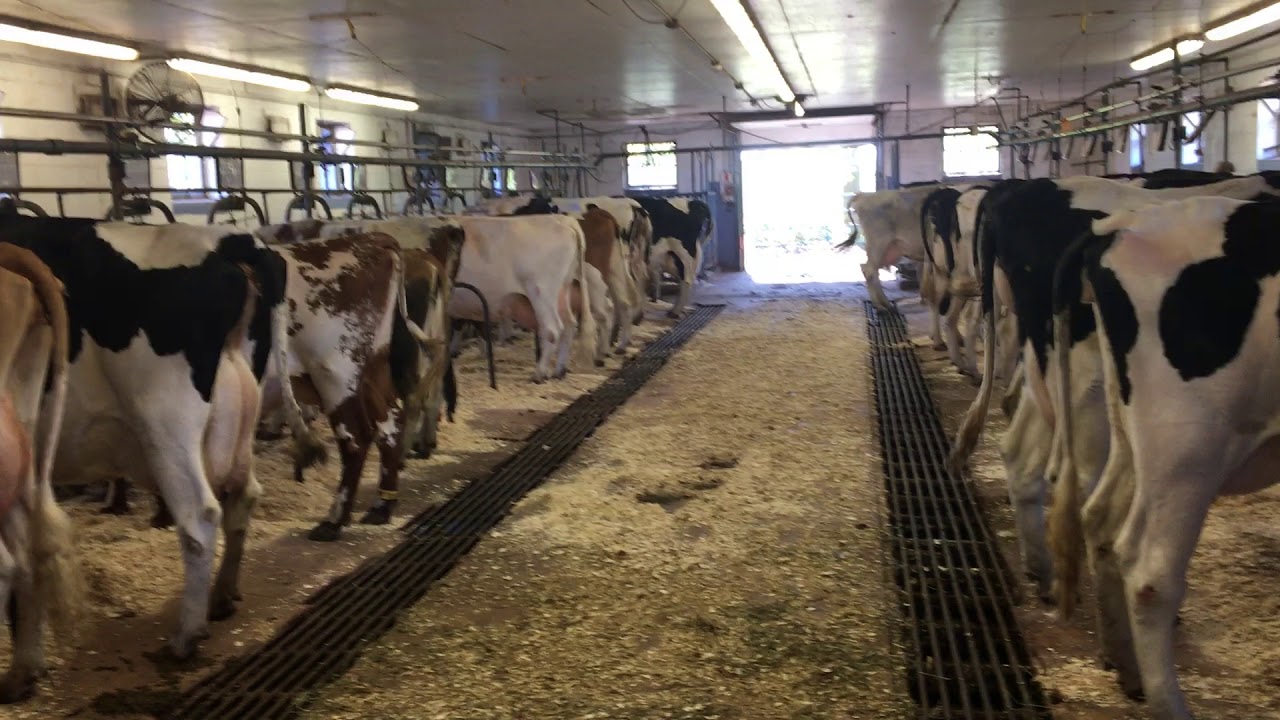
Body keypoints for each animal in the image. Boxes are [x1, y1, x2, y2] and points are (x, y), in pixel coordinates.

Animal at [0, 215, 294, 660]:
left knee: (200, 516)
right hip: (239, 414)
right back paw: (222, 597)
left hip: (165, 422)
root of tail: (227, 240)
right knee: (242, 496)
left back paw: (186, 637)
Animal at [1047, 196, 1280, 720]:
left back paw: (1124, 666)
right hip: (1186, 442)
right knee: (1150, 574)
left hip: (1132, 428)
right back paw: (1169, 703)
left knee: (1100, 517)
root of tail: (1120, 223)